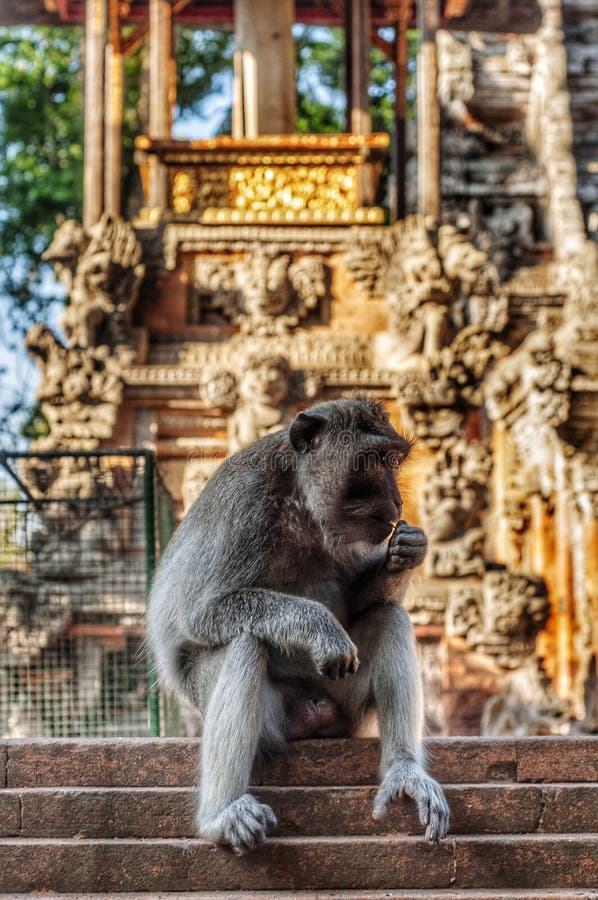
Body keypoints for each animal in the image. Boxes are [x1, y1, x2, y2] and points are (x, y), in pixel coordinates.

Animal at [146, 397, 449, 854]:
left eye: (394, 461)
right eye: (373, 460)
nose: (398, 503)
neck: (302, 501)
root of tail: (313, 711)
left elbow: (364, 602)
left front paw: (407, 551)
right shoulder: (247, 503)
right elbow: (200, 612)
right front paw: (319, 626)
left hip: (343, 703)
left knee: (388, 617)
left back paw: (404, 772)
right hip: (270, 719)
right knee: (245, 643)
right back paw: (221, 814)